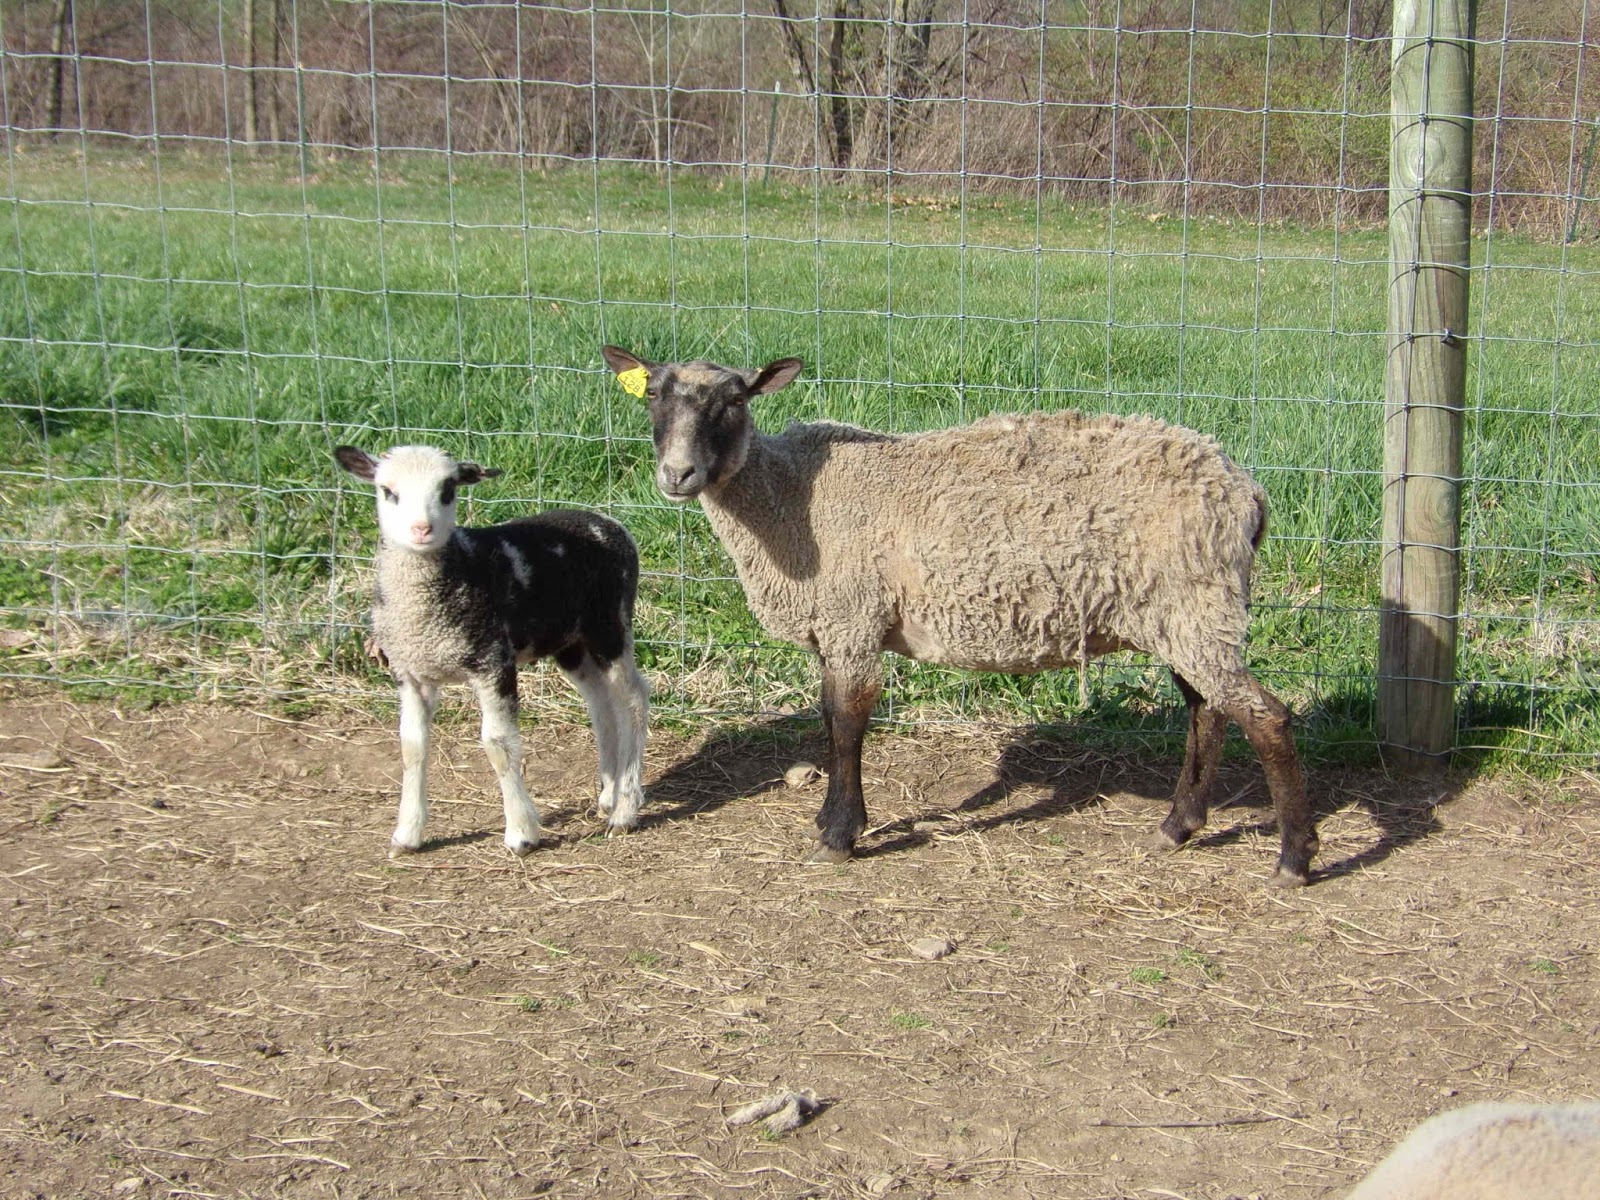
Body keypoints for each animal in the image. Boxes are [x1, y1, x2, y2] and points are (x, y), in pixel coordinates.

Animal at [335, 444, 649, 856]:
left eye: (448, 490)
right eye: (387, 491)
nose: (422, 529)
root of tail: (610, 523)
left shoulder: (492, 661)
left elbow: (497, 744)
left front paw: (521, 834)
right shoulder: (410, 672)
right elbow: (411, 746)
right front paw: (406, 835)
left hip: (609, 622)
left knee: (633, 698)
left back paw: (625, 810)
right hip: (570, 642)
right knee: (601, 703)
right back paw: (609, 795)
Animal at [601, 346, 1316, 885]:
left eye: (733, 402)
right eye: (654, 397)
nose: (678, 474)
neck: (790, 495)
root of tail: (1246, 490)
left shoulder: (853, 616)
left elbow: (846, 722)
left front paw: (838, 835)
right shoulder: (838, 623)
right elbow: (831, 718)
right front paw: (832, 823)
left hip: (1196, 603)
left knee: (1265, 718)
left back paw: (1294, 860)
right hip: (1184, 614)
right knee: (1207, 710)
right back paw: (1177, 827)